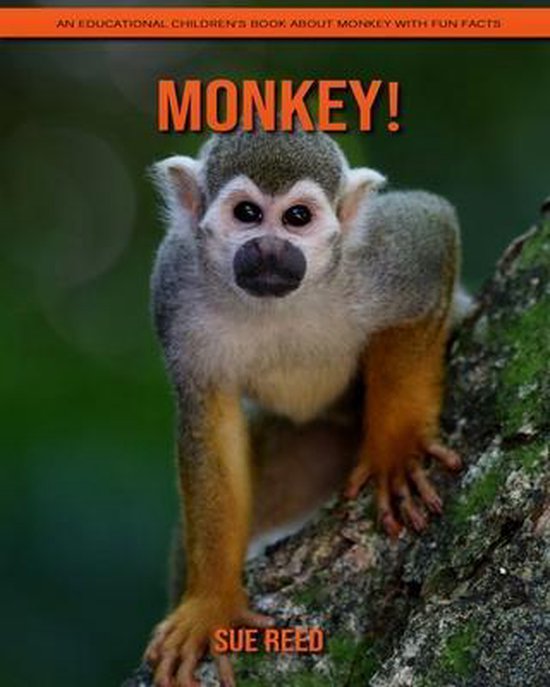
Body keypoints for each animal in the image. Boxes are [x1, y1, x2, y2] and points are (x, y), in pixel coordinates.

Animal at [144, 125, 464, 687]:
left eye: (297, 217)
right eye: (247, 213)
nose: (270, 251)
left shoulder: (382, 256)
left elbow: (433, 230)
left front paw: (396, 449)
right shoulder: (174, 288)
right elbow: (209, 423)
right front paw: (211, 604)